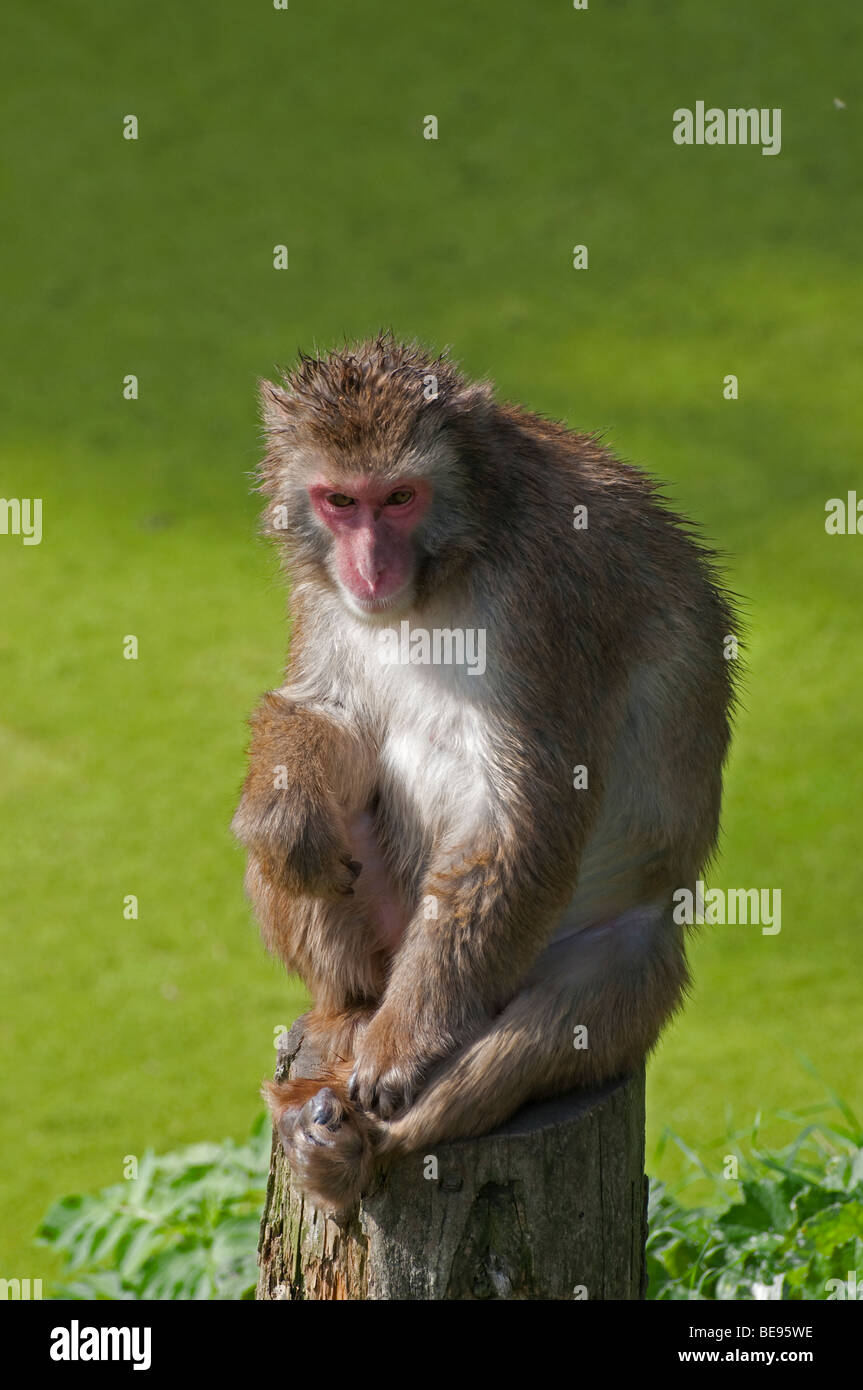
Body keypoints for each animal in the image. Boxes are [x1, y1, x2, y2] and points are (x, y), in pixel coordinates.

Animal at [231, 333, 736, 1214]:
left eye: (400, 497)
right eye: (339, 501)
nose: (368, 568)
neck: (462, 546)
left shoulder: (547, 593)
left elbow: (523, 807)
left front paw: (401, 1055)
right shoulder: (319, 588)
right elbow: (327, 712)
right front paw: (286, 811)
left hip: (607, 969)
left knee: (546, 1027)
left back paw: (372, 1136)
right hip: (386, 929)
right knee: (306, 848)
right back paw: (343, 1013)